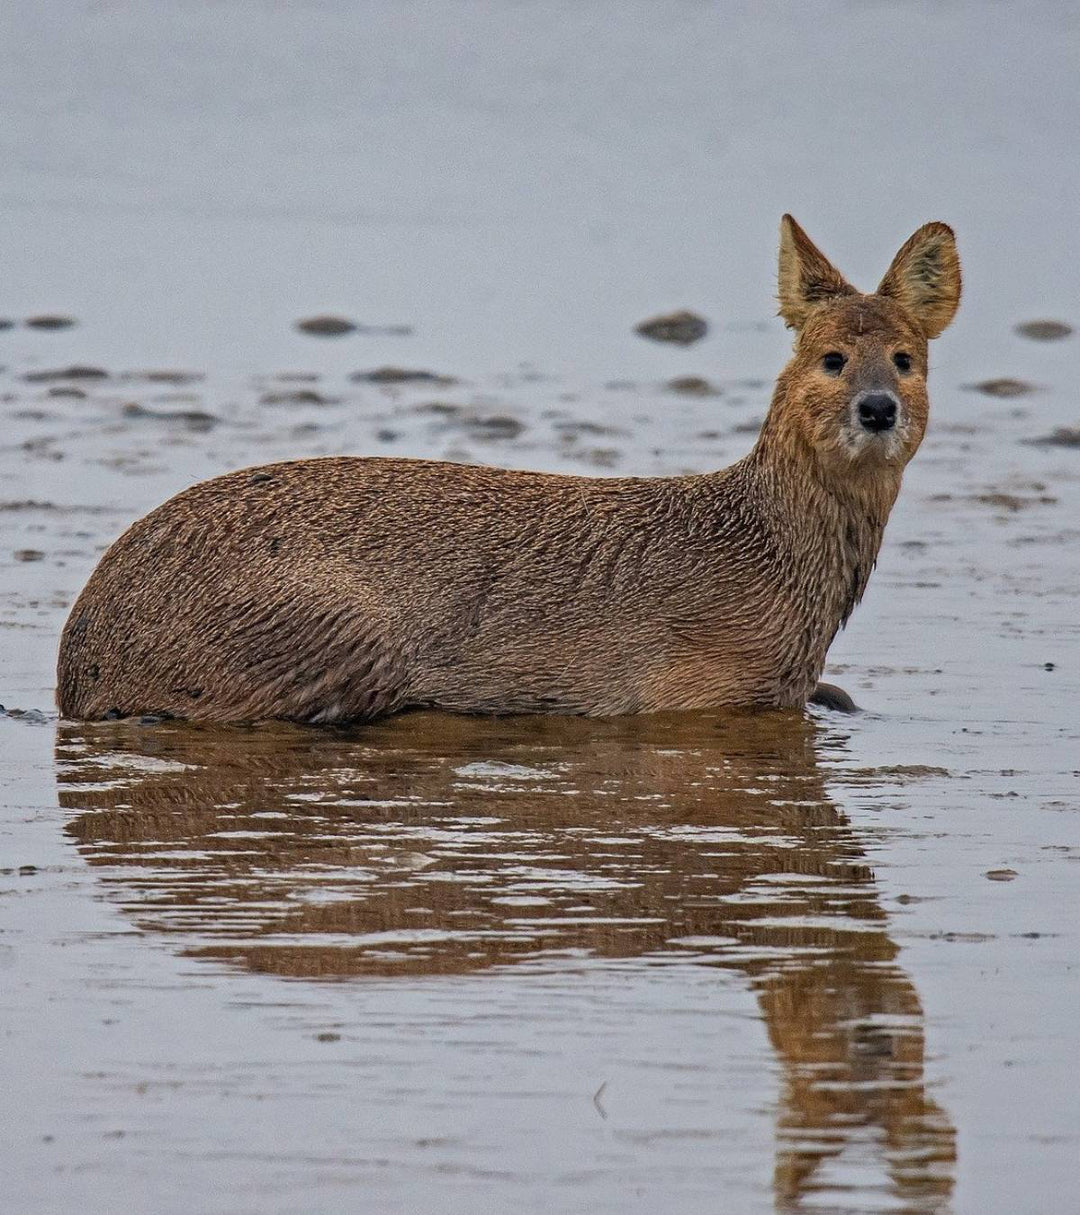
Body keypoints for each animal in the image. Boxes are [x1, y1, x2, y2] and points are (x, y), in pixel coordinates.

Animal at [56, 216, 961, 725]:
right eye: (831, 357)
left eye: (907, 359)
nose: (877, 408)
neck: (769, 551)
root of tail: (77, 660)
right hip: (339, 630)